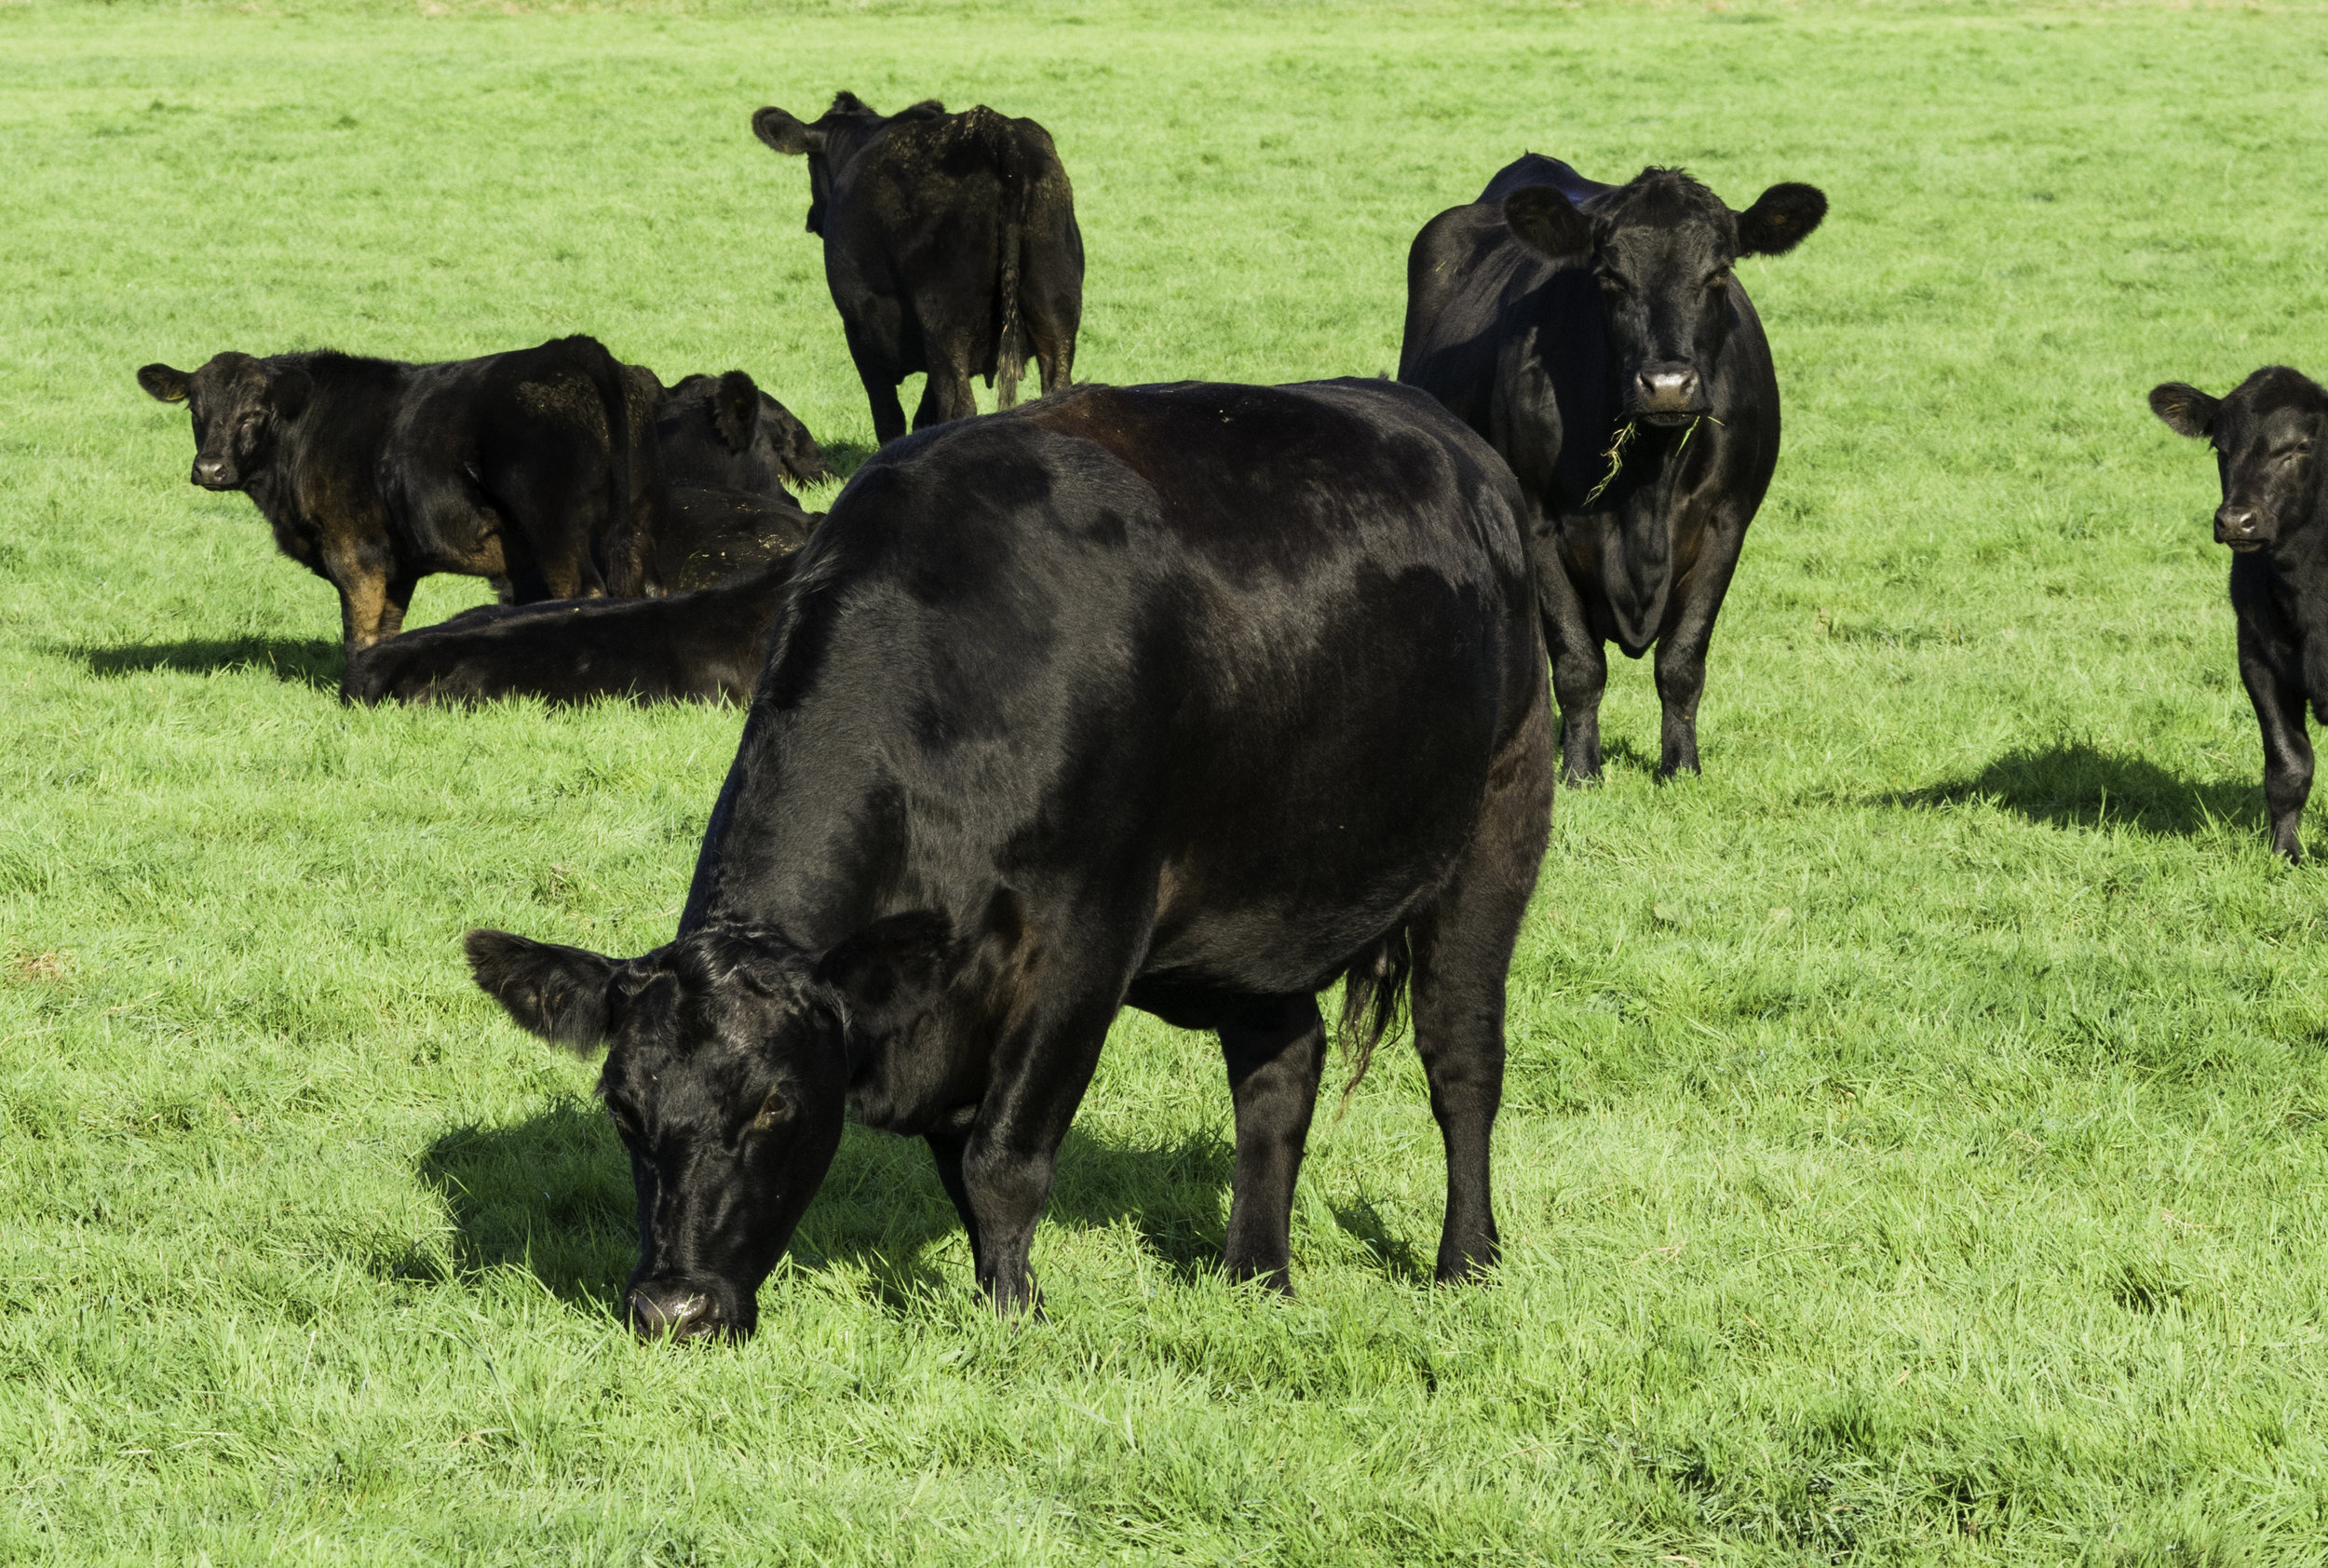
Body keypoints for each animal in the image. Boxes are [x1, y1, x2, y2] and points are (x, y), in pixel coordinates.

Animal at [138, 335, 657, 649]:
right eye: (195, 411)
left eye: (253, 413)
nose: (211, 469)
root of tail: (573, 349)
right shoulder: (400, 561)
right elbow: (387, 626)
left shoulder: (353, 548)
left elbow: (360, 630)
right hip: (631, 534)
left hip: (556, 532)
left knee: (581, 593)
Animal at [463, 379, 1554, 1340]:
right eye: (624, 1111)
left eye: (775, 1105)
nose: (672, 1309)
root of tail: (1452, 438)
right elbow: (964, 1168)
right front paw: (1003, 1298)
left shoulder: (1086, 945)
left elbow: (1005, 1157)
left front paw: (1013, 1325)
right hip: (1259, 898)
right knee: (1279, 1069)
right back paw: (1255, 1275)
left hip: (1502, 819)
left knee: (1462, 1059)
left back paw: (1467, 1263)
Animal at [750, 92, 1083, 444]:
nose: (813, 217)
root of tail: (993, 129)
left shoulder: (860, 331)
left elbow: (888, 416)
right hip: (1055, 306)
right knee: (1057, 385)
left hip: (944, 322)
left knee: (959, 404)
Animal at [1399, 155, 1826, 783]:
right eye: (1609, 277)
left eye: (1719, 273)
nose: (1667, 385)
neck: (1648, 480)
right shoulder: (1538, 522)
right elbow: (1578, 664)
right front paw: (1580, 772)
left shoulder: (1727, 522)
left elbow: (1682, 660)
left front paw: (1681, 769)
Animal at [2150, 367, 2328, 861]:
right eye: (2220, 448)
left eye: (2300, 446)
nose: (2235, 521)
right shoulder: (2257, 655)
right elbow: (2289, 766)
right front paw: (2285, 855)